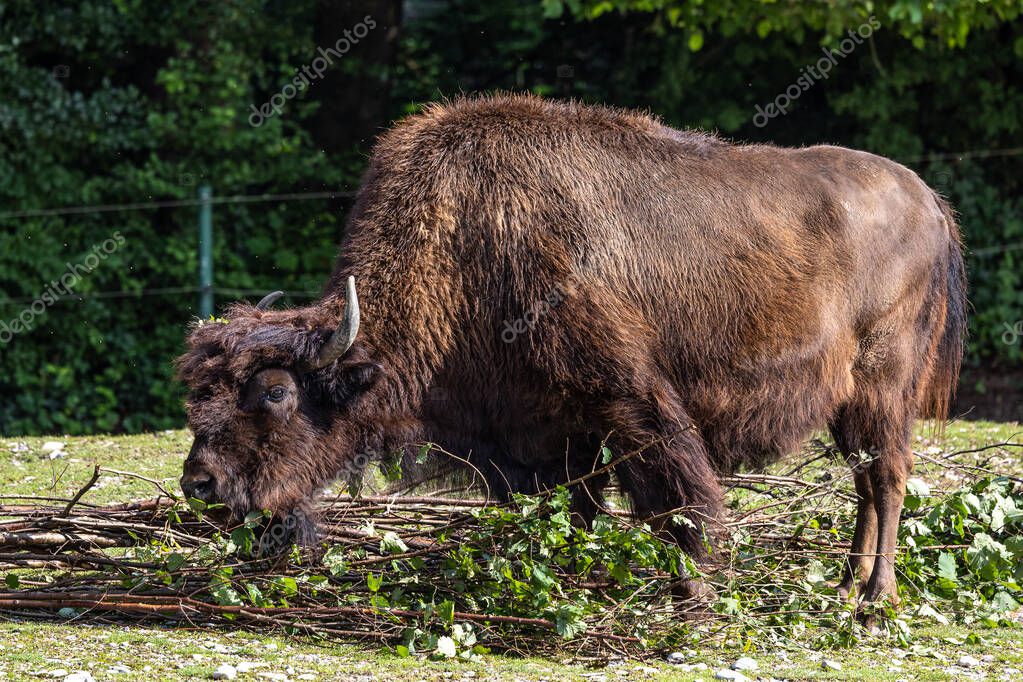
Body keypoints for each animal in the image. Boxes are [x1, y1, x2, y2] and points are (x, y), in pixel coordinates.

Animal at [177, 94, 966, 608]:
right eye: (199, 395)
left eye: (277, 392)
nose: (199, 484)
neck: (462, 244)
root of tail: (929, 199)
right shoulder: (559, 430)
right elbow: (579, 508)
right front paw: (567, 576)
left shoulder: (628, 401)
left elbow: (672, 496)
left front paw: (693, 590)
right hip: (849, 400)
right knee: (865, 481)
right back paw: (845, 584)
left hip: (884, 384)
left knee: (887, 477)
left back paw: (873, 601)